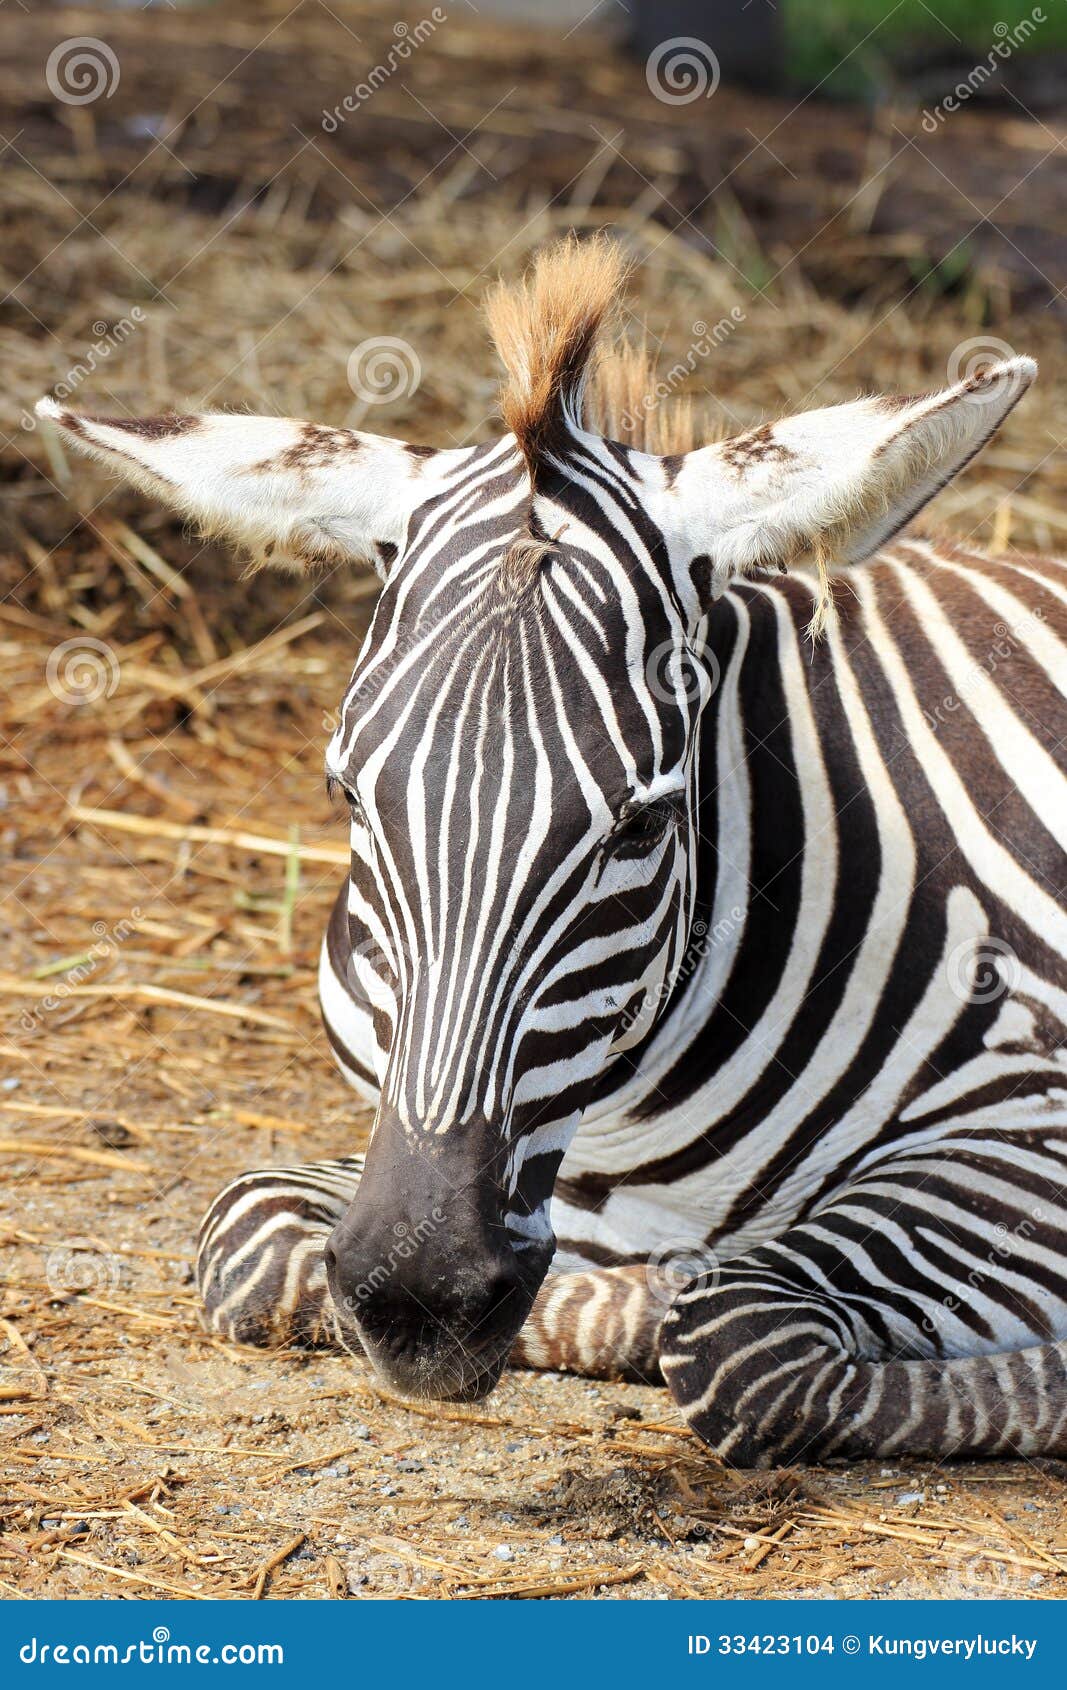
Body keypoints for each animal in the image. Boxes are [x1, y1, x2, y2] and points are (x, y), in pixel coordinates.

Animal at [39, 236, 1067, 1466]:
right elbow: (247, 1239)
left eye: (640, 825)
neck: (628, 1121)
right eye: (349, 796)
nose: (419, 1295)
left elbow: (730, 1337)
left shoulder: (1029, 1127)